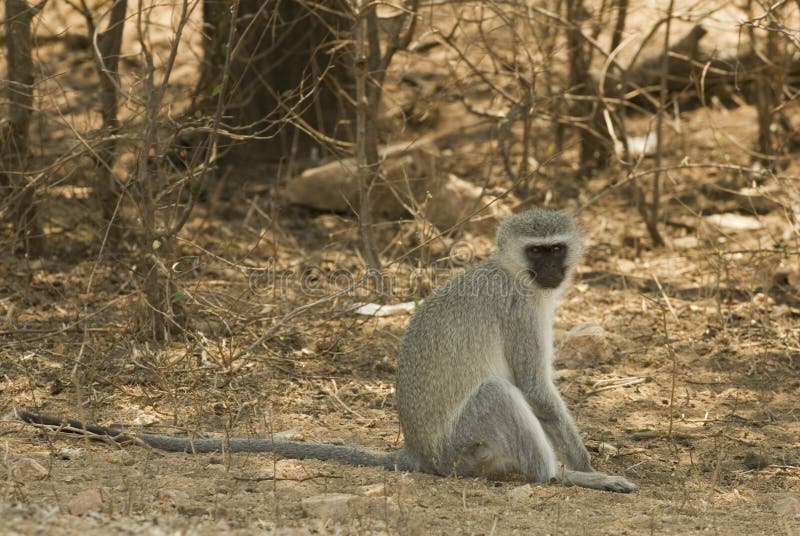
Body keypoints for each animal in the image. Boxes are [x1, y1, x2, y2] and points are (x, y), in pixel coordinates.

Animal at [19, 208, 635, 493]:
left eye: (557, 249)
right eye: (539, 251)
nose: (553, 271)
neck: (513, 274)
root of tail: (419, 453)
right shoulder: (517, 309)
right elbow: (534, 388)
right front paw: (586, 465)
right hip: (464, 445)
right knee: (500, 396)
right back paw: (563, 479)